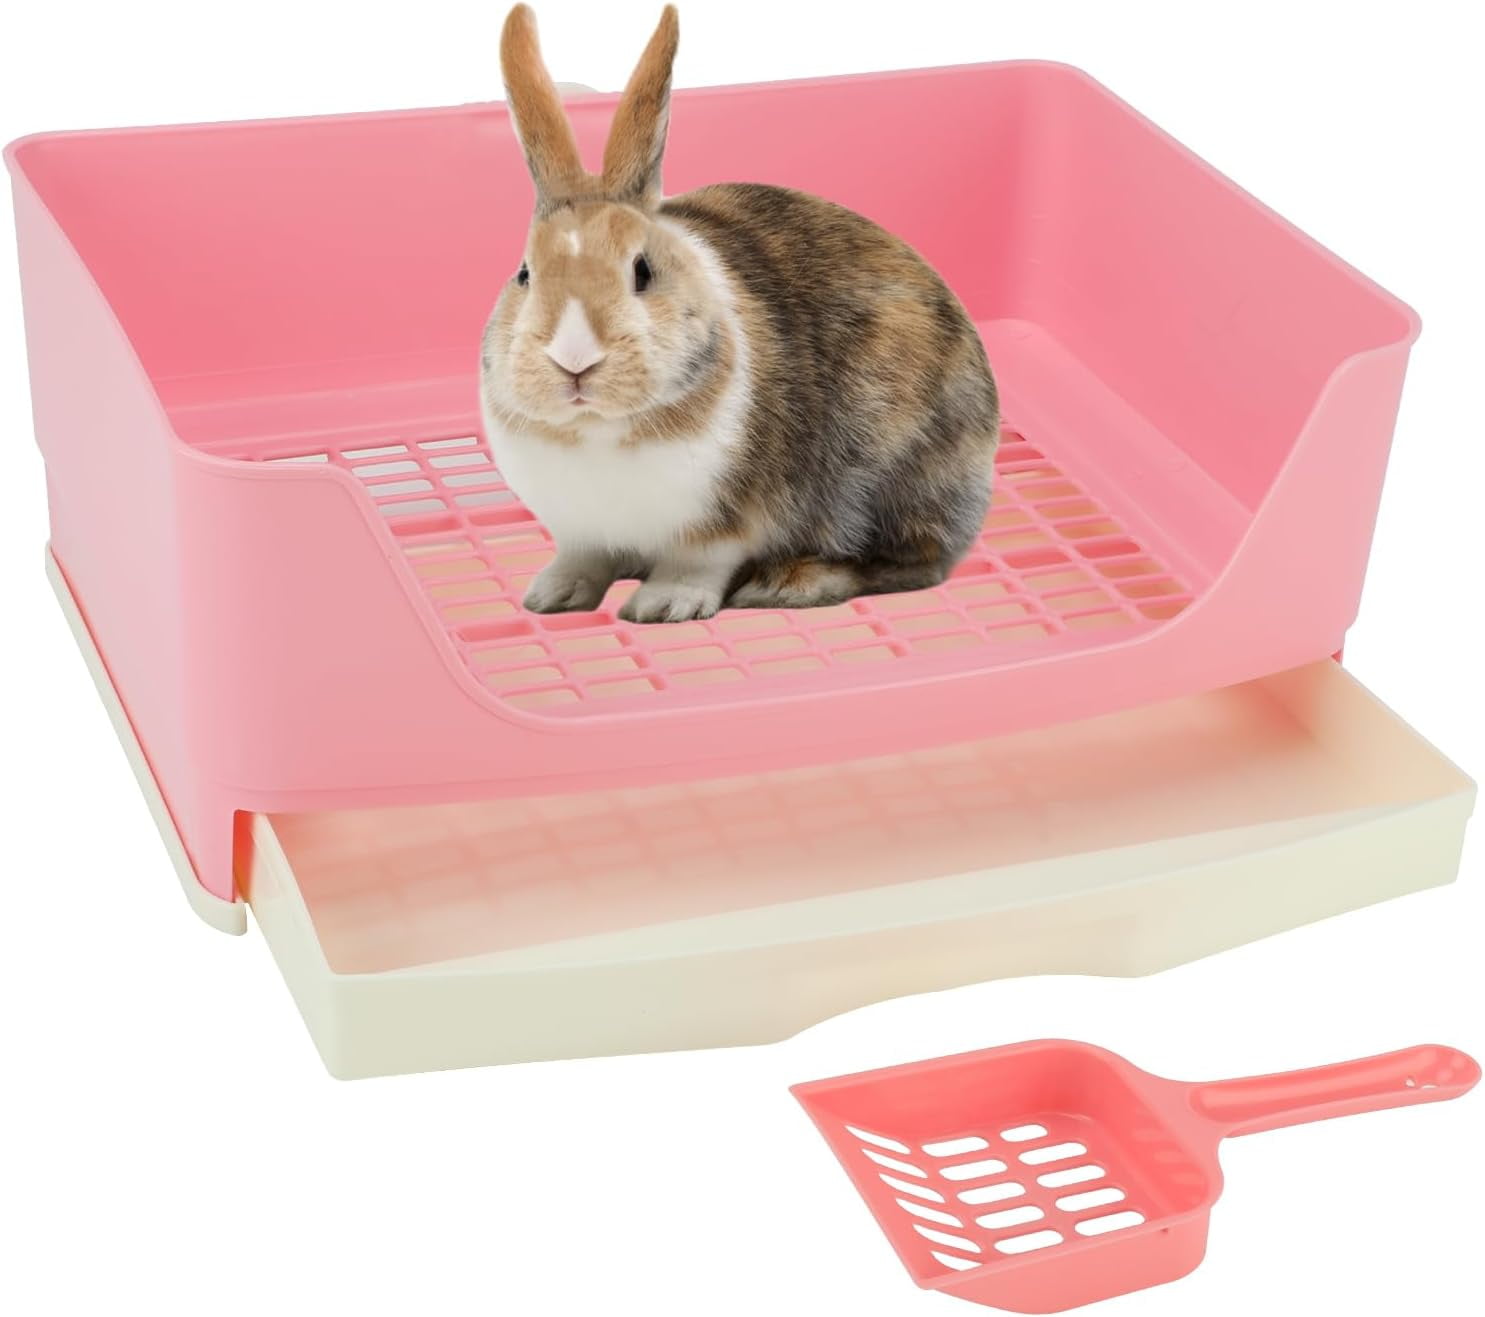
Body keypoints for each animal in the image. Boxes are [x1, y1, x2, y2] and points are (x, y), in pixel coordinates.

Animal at [481, 4, 999, 624]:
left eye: (642, 271)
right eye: (524, 274)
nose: (574, 359)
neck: (598, 429)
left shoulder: (722, 525)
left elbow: (697, 564)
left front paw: (662, 606)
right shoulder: (582, 531)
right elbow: (583, 559)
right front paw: (552, 596)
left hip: (893, 477)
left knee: (908, 563)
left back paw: (787, 584)